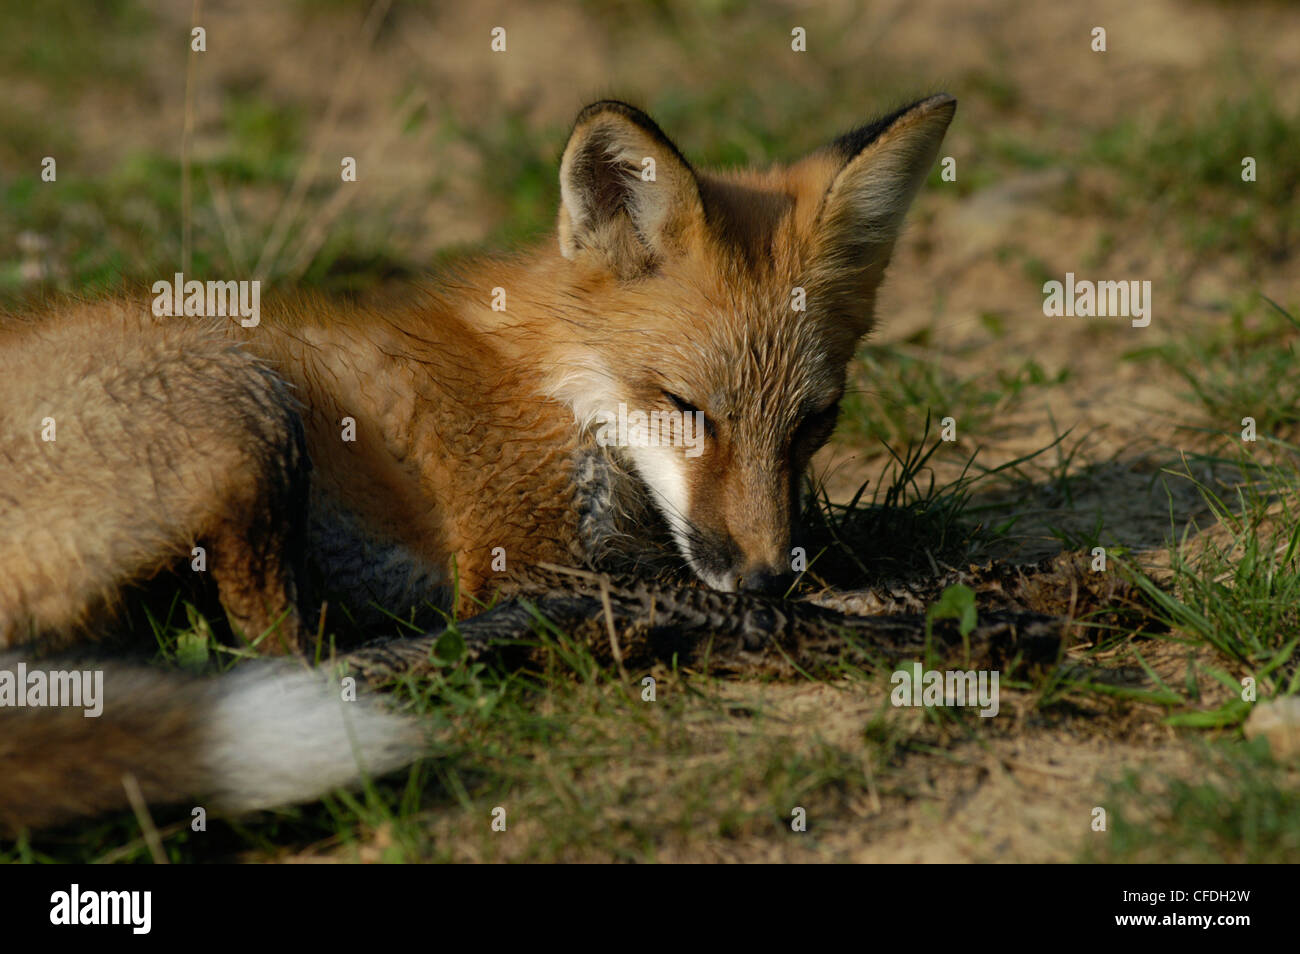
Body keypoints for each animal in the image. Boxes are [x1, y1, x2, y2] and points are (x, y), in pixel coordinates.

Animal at [0, 95, 955, 835]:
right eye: (686, 407)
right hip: (244, 404)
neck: (555, 384)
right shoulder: (520, 554)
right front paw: (914, 618)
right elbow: (746, 603)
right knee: (290, 655)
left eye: (815, 422)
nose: (762, 575)